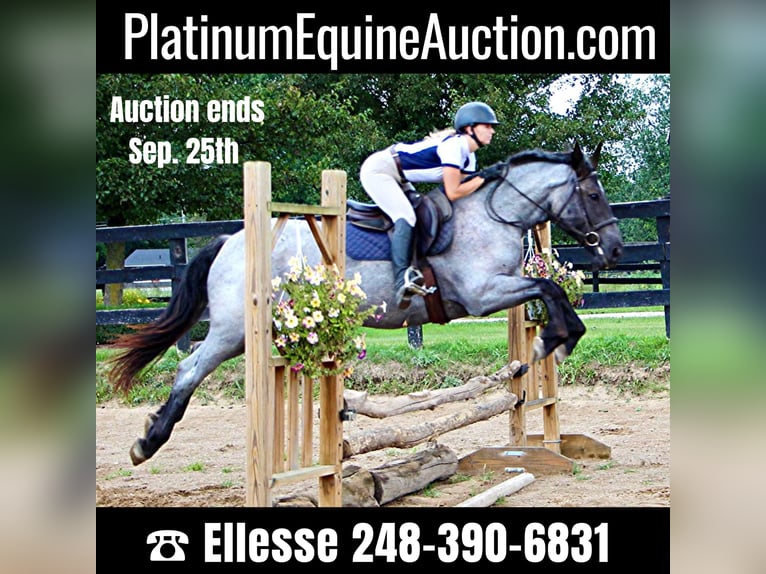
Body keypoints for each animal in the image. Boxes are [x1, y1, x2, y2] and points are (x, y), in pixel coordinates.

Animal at [108, 142, 623, 465]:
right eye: (592, 193)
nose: (616, 249)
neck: (496, 213)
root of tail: (230, 241)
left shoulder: (500, 287)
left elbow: (551, 292)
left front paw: (554, 342)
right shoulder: (482, 294)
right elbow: (550, 290)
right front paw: (553, 342)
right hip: (236, 328)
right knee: (189, 367)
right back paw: (147, 443)